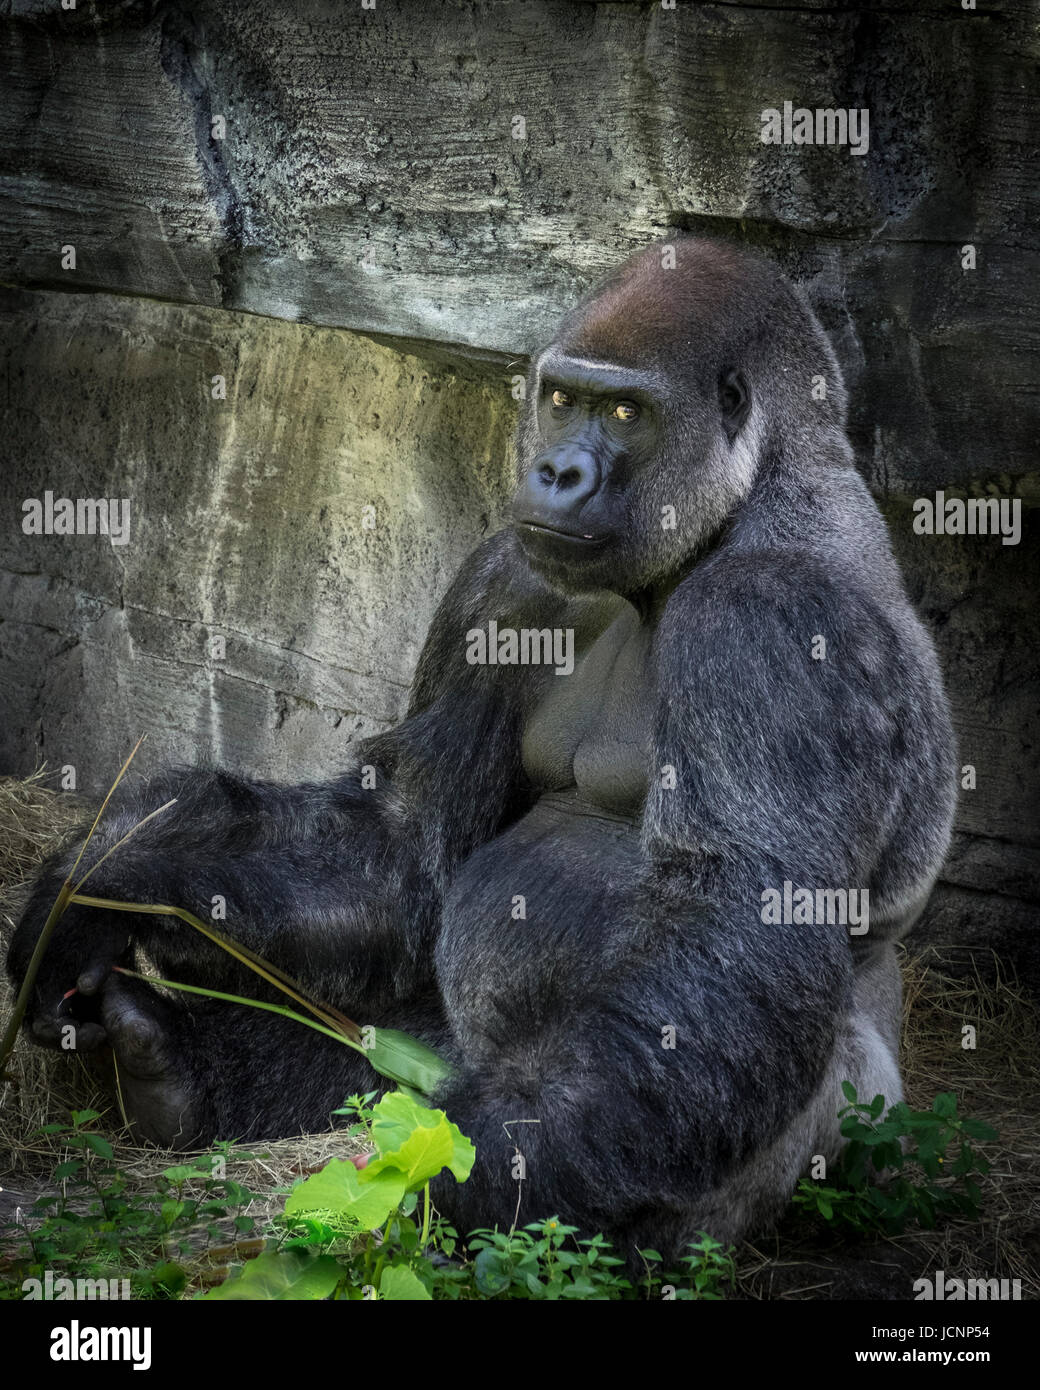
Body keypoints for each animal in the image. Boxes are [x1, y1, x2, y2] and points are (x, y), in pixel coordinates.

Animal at [6, 236, 956, 1261]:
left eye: (627, 412)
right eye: (563, 399)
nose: (556, 473)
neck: (746, 500)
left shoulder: (776, 621)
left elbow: (741, 921)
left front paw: (484, 1166)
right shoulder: (506, 580)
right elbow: (407, 841)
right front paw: (108, 873)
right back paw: (175, 1069)